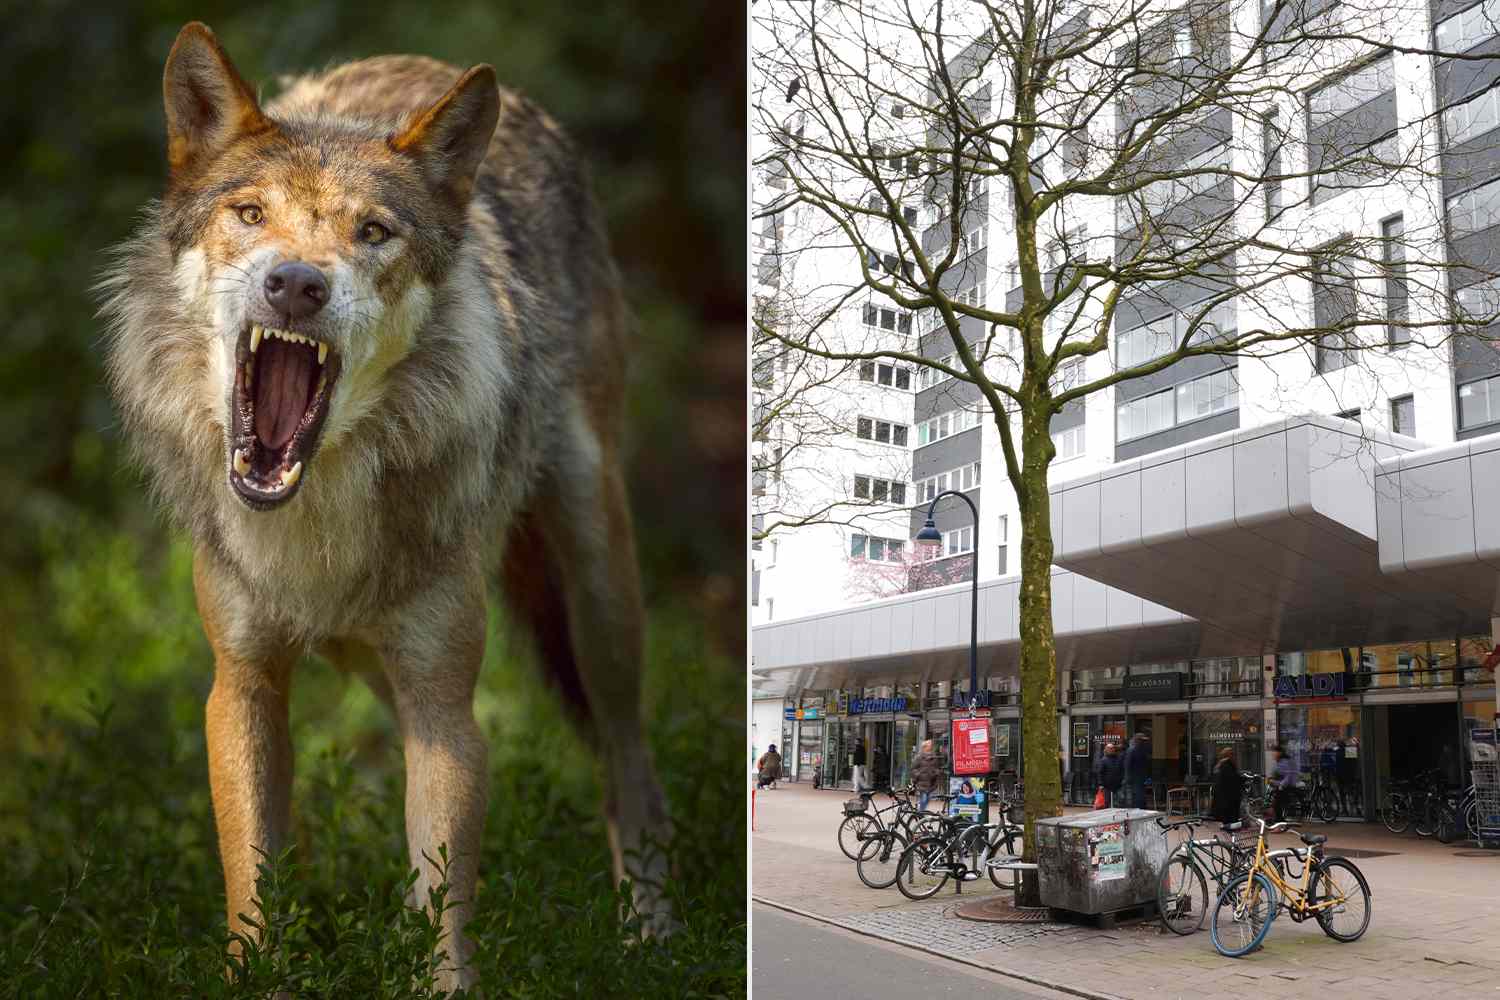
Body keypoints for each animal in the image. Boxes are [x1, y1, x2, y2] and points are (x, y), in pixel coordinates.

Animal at [99, 22, 674, 989]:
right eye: (249, 214)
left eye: (373, 232)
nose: (297, 284)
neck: (314, 518)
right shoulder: (241, 687)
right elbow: (253, 888)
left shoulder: (447, 712)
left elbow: (440, 909)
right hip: (375, 658)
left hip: (599, 587)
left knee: (628, 753)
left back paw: (649, 931)